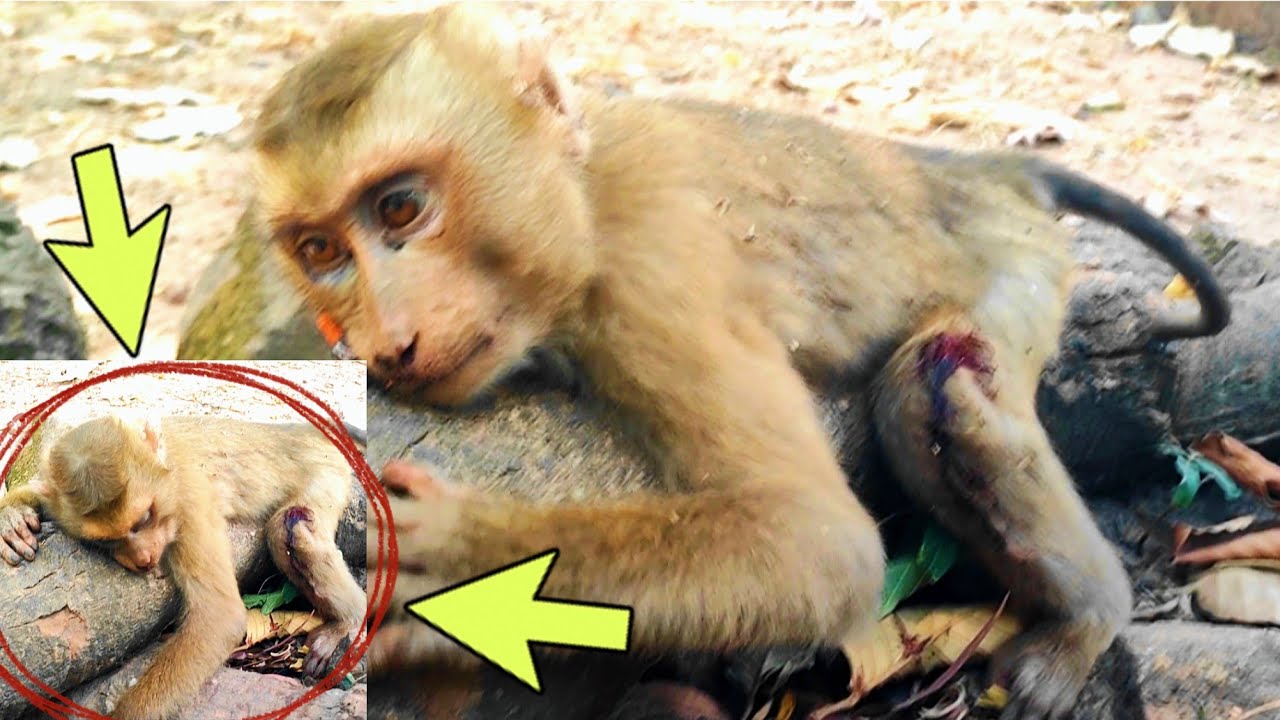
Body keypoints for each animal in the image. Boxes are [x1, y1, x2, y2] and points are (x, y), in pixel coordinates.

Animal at [0, 415, 367, 720]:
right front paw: (12, 519)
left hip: (327, 470)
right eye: (108, 541)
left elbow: (219, 615)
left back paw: (347, 620)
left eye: (143, 519)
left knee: (290, 524)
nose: (143, 558)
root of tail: (303, 429)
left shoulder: (186, 498)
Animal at [248, 7, 1229, 719]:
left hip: (1016, 256)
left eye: (401, 208)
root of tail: (967, 165)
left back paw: (1087, 618)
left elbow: (816, 542)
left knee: (937, 383)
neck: (585, 195)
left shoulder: (651, 269)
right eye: (321, 251)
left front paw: (454, 567)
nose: (386, 339)